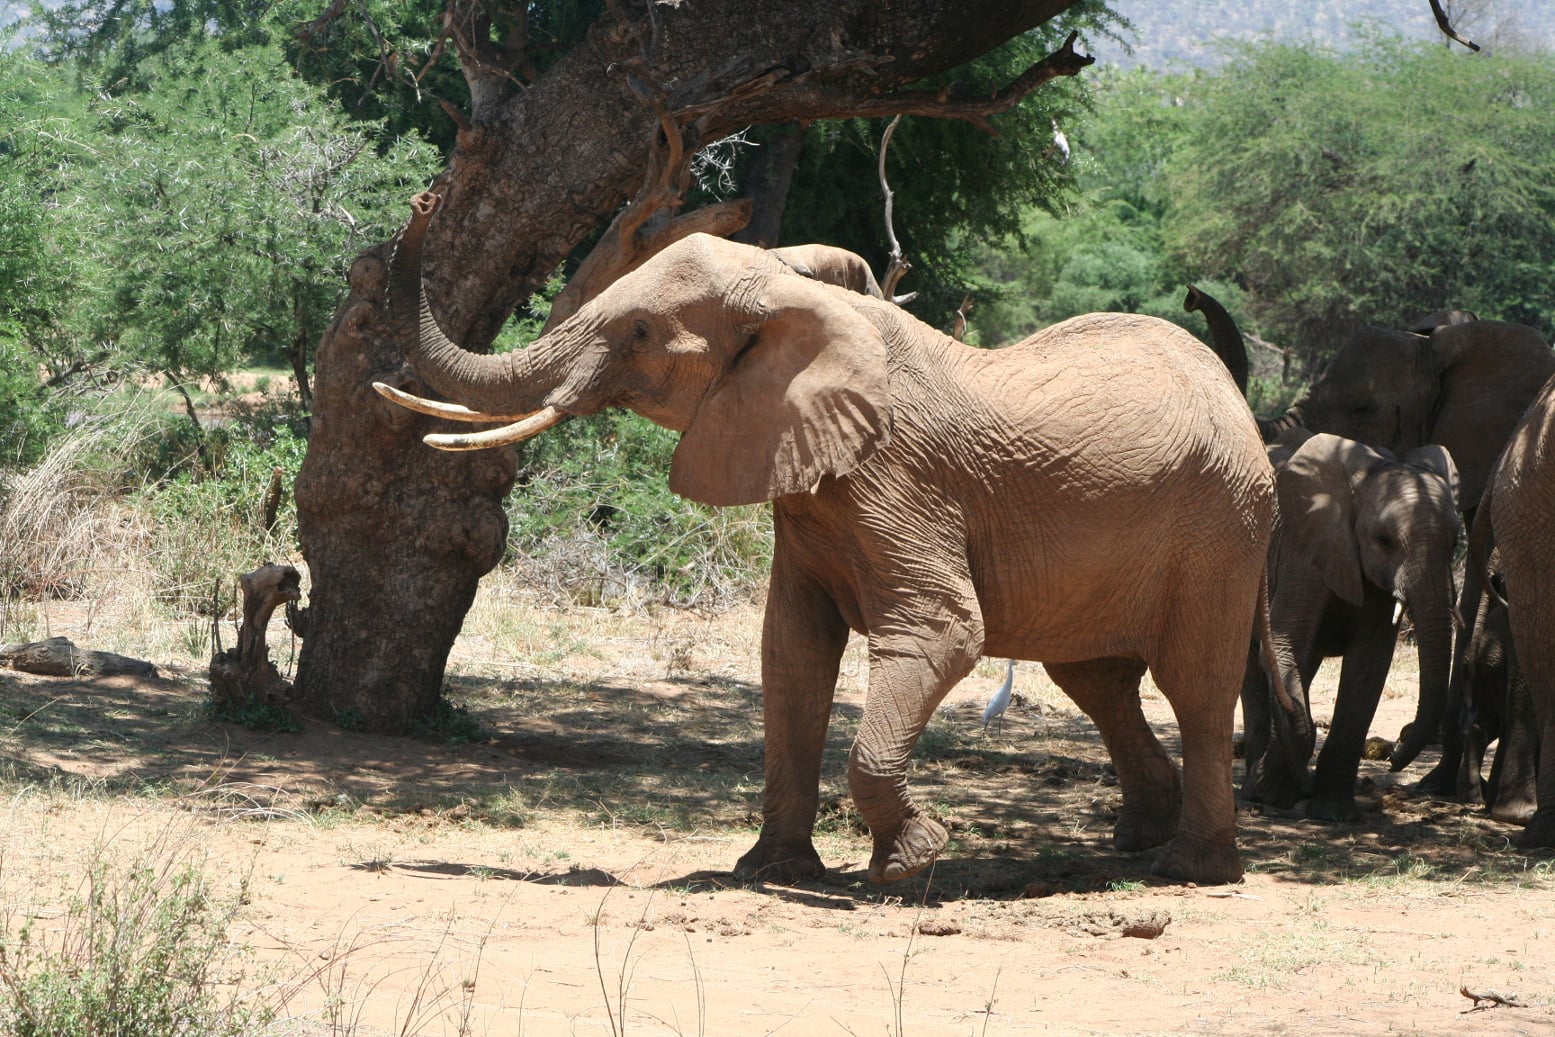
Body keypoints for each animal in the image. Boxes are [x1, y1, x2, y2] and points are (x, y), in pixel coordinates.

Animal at [379, 191, 1293, 885]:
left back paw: (1188, 867)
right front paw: (770, 872)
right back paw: (1134, 840)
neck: (799, 299)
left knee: (1194, 684)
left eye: (639, 333)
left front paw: (909, 864)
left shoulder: (899, 480)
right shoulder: (808, 484)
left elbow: (940, 631)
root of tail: (1236, 398)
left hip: (1223, 523)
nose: (423, 204)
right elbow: (791, 649)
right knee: (1095, 678)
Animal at [1241, 432, 1461, 821]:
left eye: (1454, 543)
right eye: (1384, 541)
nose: (1395, 756)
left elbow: (1368, 668)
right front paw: (1277, 792)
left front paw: (1333, 813)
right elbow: (1285, 646)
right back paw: (1255, 791)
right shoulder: (1302, 551)